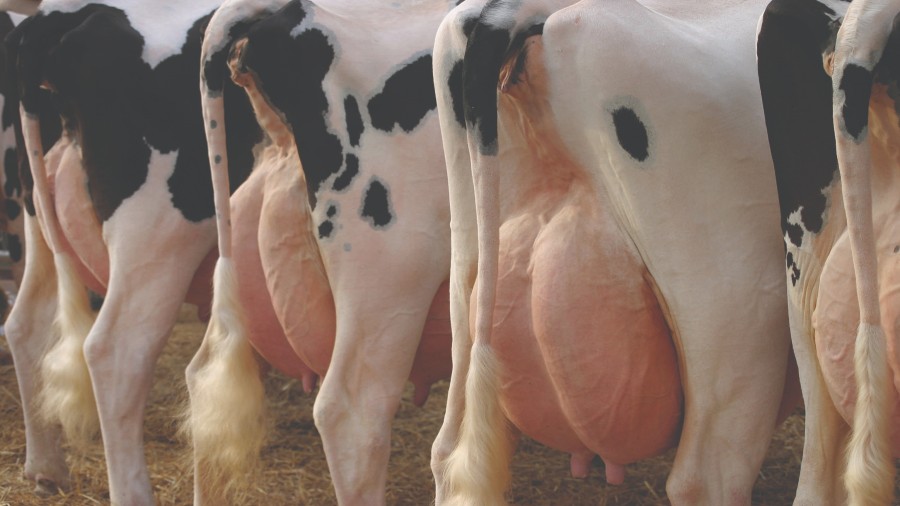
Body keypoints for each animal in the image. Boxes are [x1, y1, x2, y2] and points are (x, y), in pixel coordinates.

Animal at [3, 0, 262, 502]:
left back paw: (46, 468)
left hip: (38, 215)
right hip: (160, 231)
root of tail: (60, 15)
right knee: (115, 351)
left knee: (27, 324)